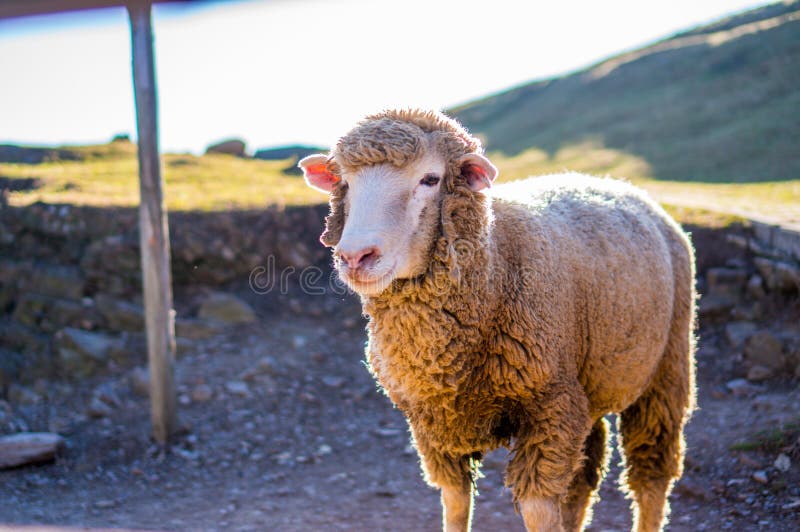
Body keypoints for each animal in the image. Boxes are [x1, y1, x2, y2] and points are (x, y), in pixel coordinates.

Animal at [299, 109, 696, 532]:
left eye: (430, 179)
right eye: (344, 181)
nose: (355, 257)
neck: (496, 264)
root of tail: (615, 183)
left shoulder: (550, 406)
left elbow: (539, 510)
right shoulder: (435, 425)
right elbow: (456, 503)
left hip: (666, 368)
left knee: (651, 474)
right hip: (589, 383)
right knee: (583, 478)